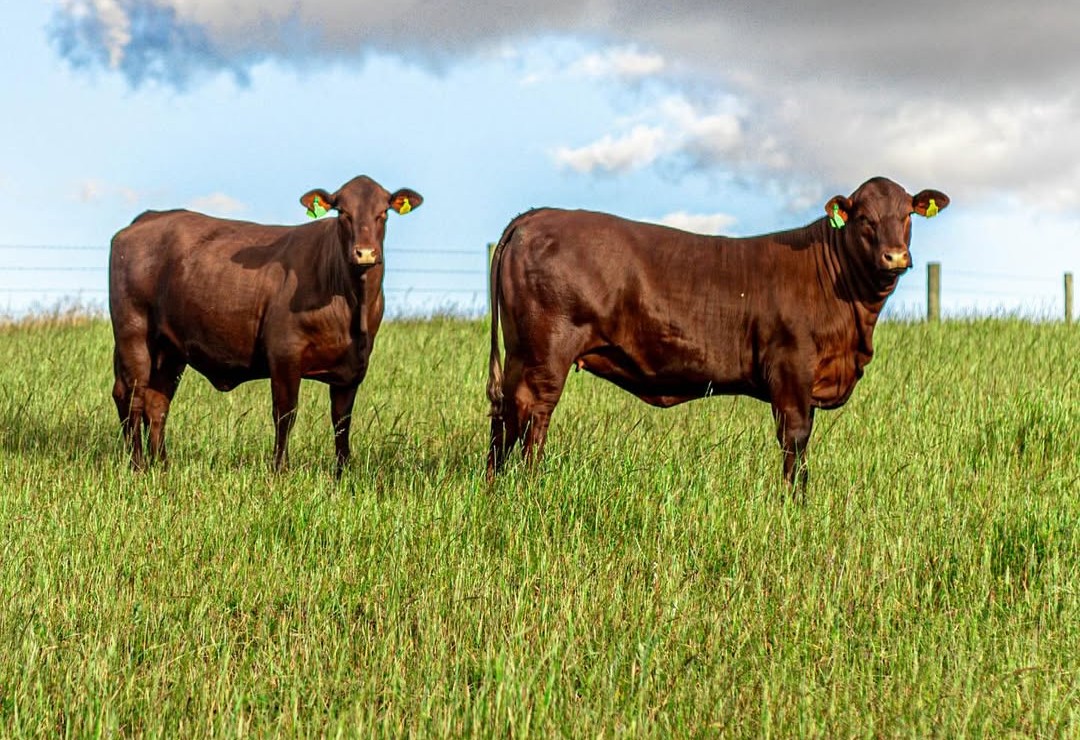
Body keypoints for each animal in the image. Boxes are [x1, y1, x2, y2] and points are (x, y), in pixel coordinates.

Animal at [109, 175, 422, 475]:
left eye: (383, 213)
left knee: (156, 402)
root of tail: (149, 218)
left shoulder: (352, 368)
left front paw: (342, 473)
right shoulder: (284, 354)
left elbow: (342, 423)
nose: (365, 253)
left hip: (170, 349)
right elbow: (285, 415)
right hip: (134, 334)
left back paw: (162, 465)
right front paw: (280, 470)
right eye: (343, 212)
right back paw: (137, 465)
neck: (351, 305)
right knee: (132, 396)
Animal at [486, 177, 948, 492]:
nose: (895, 256)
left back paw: (495, 485)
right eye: (865, 219)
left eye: (907, 215)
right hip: (546, 351)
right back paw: (529, 486)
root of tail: (536, 215)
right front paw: (794, 502)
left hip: (520, 352)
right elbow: (795, 438)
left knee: (503, 413)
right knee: (533, 415)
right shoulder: (791, 367)